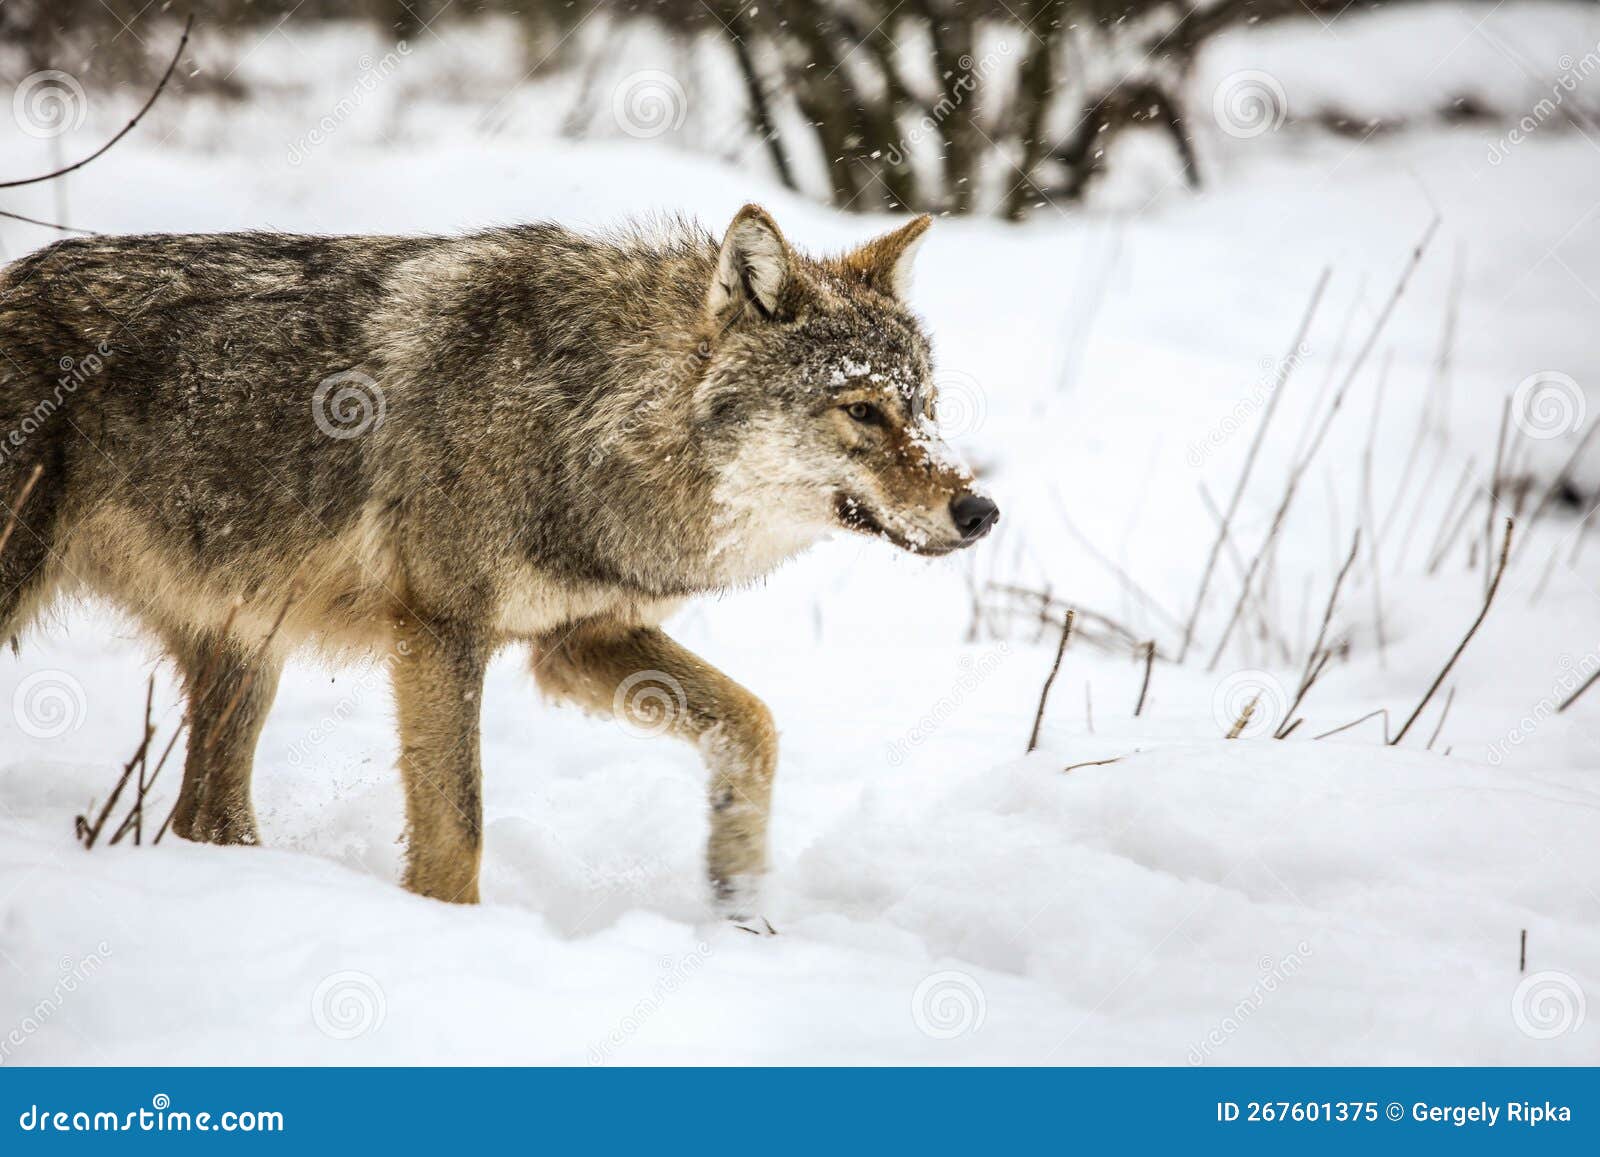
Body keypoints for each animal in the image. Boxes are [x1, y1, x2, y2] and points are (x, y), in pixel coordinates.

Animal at [0, 204, 998, 916]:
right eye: (862, 410)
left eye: (927, 406)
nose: (980, 510)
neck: (590, 415)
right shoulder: (440, 633)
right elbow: (458, 831)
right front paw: (449, 932)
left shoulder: (583, 640)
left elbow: (755, 724)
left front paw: (738, 894)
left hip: (248, 654)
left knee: (205, 818)